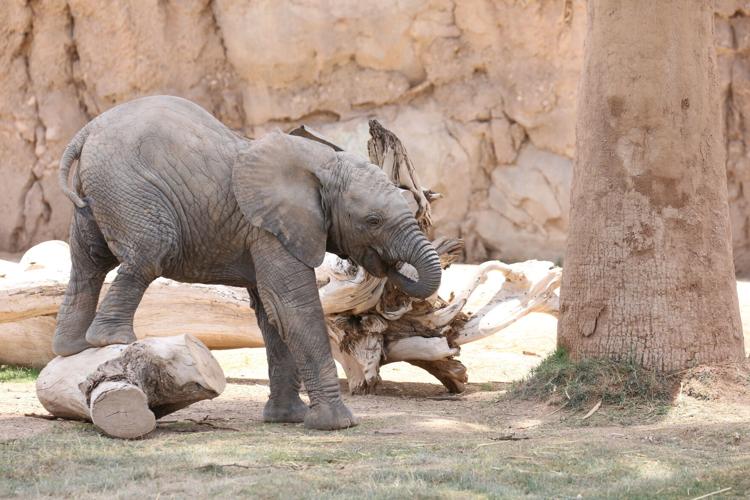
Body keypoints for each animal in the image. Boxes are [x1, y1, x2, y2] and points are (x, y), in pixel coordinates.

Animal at [53, 95, 442, 430]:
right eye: (373, 221)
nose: (389, 268)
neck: (321, 164)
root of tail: (87, 131)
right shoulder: (269, 229)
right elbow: (291, 307)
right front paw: (335, 424)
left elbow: (270, 316)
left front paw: (287, 418)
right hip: (128, 188)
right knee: (147, 254)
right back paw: (111, 339)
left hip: (98, 192)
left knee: (88, 262)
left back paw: (72, 348)